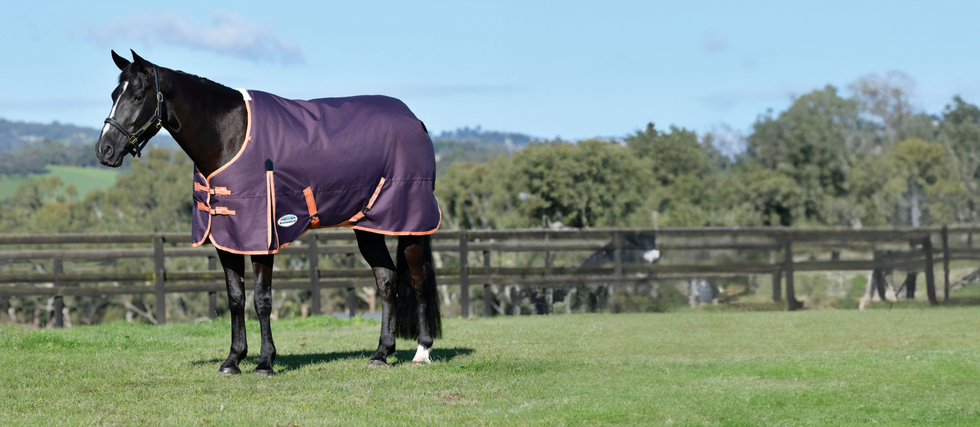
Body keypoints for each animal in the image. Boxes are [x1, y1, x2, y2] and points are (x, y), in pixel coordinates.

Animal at [95, 50, 442, 376]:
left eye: (137, 96)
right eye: (113, 95)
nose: (104, 150)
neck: (229, 135)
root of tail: (416, 121)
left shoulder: (262, 237)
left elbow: (262, 299)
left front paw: (265, 362)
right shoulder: (228, 237)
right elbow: (235, 298)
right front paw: (232, 360)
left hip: (411, 225)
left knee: (417, 281)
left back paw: (422, 351)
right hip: (369, 227)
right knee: (386, 281)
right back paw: (381, 353)